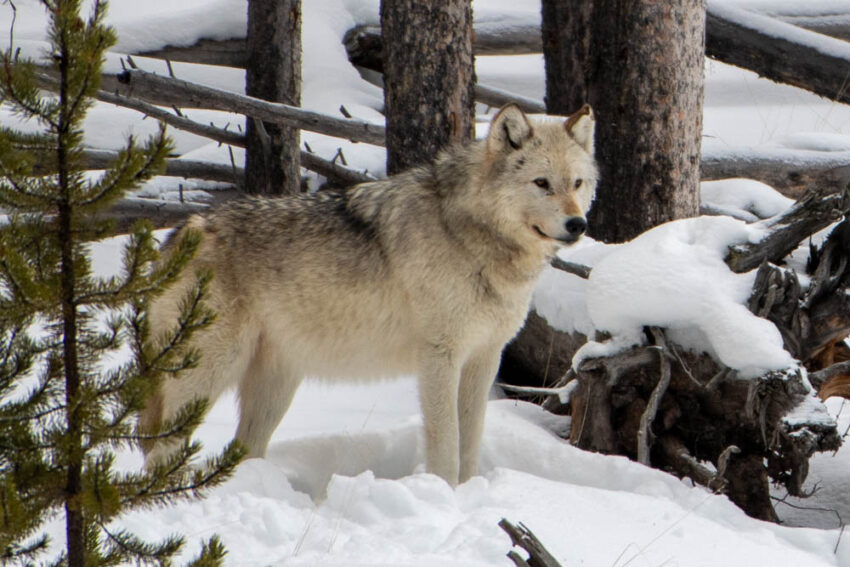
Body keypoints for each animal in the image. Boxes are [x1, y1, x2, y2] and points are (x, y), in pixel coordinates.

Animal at [139, 104, 598, 486]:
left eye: (577, 183)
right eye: (542, 183)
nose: (578, 224)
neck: (471, 236)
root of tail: (182, 231)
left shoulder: (484, 358)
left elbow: (470, 440)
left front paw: (469, 492)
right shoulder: (439, 356)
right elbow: (446, 441)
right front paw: (445, 494)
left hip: (274, 387)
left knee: (243, 449)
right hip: (210, 373)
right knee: (162, 448)